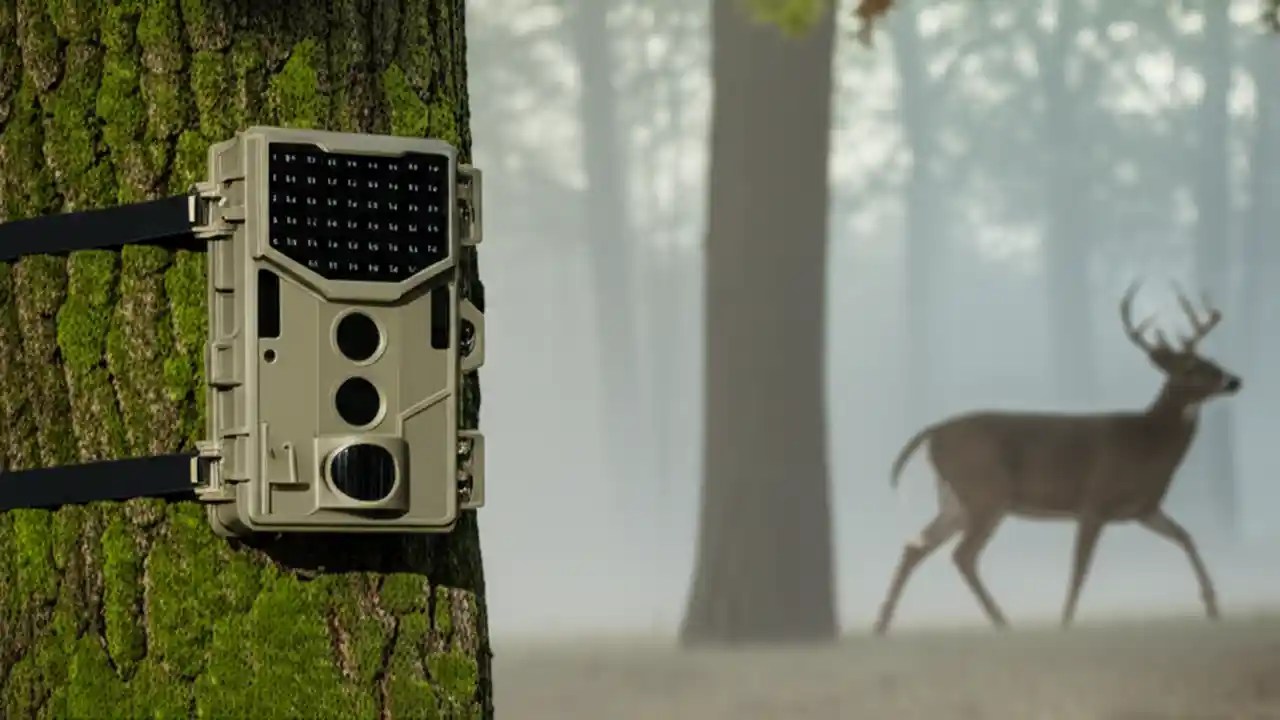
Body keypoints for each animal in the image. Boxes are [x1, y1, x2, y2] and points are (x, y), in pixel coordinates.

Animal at [873, 281, 1241, 635]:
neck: (1147, 443)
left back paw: (883, 623)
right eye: (1192, 367)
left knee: (915, 546)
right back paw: (1002, 622)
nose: (1234, 380)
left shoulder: (1145, 508)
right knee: (962, 555)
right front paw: (1065, 622)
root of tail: (932, 432)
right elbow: (1079, 568)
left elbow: (1186, 538)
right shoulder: (1094, 501)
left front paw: (1213, 606)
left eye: (1211, 360)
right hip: (986, 493)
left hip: (955, 500)